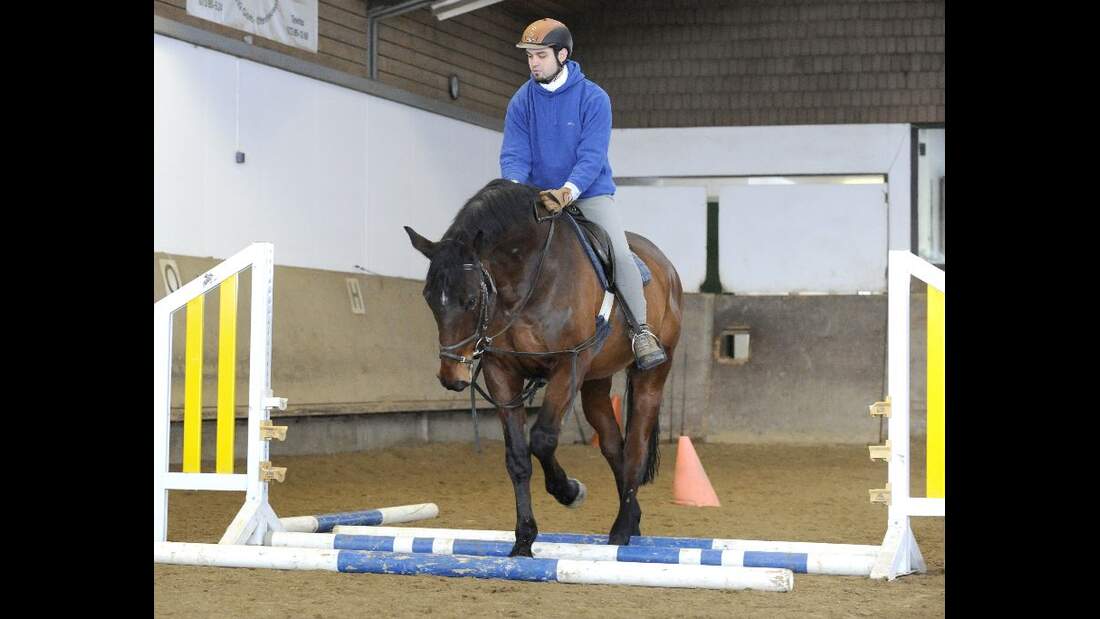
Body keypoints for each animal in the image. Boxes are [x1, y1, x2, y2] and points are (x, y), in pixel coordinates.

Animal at [404, 178, 683, 556]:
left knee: (636, 447)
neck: (527, 280)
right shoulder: (501, 371)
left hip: (649, 376)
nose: (452, 377)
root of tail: (666, 267)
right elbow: (518, 457)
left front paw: (571, 492)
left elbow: (543, 438)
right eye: (429, 298)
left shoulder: (569, 364)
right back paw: (633, 521)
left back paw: (622, 532)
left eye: (471, 300)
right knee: (614, 445)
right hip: (596, 382)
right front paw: (523, 541)